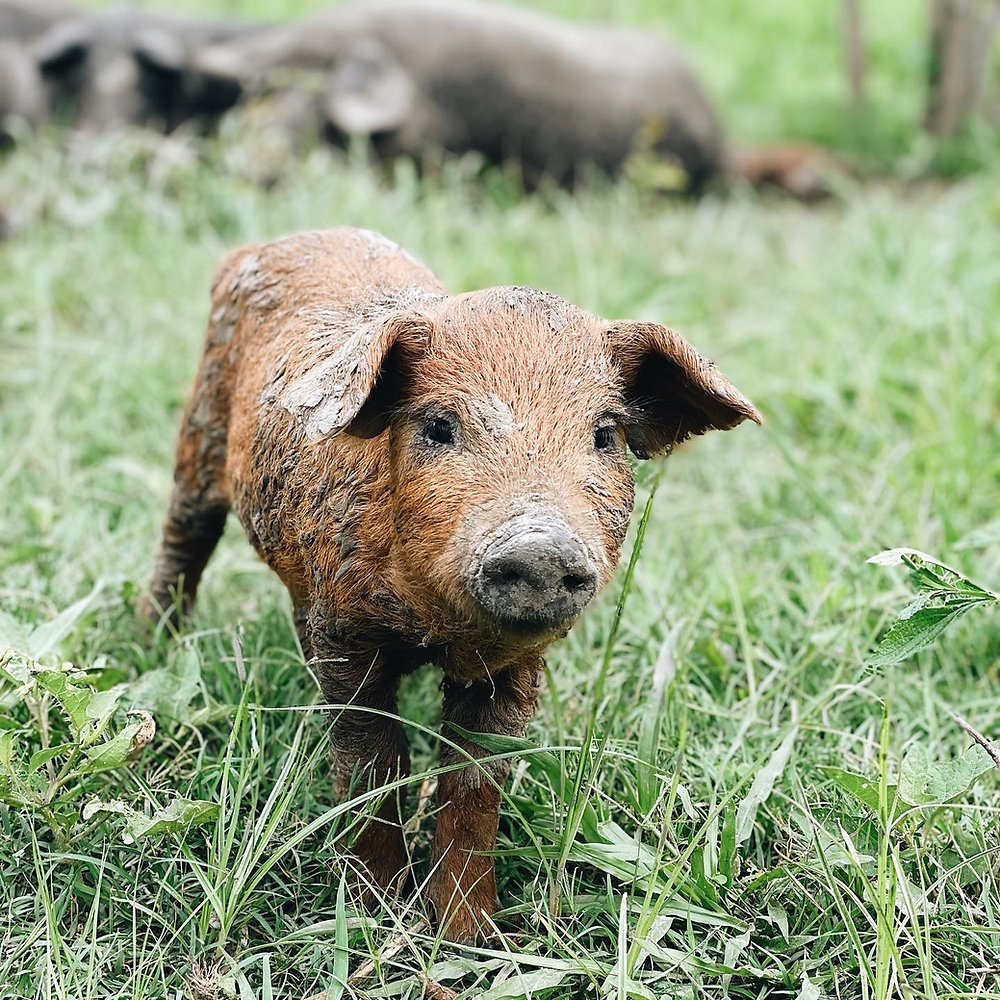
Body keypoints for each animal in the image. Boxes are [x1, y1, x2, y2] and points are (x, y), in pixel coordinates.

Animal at [143, 227, 760, 942]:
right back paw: (152, 644)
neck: (434, 629)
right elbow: (372, 768)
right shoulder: (342, 633)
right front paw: (377, 919)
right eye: (439, 426)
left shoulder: (513, 667)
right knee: (183, 538)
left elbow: (474, 783)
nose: (540, 543)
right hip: (199, 429)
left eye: (605, 434)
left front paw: (473, 939)